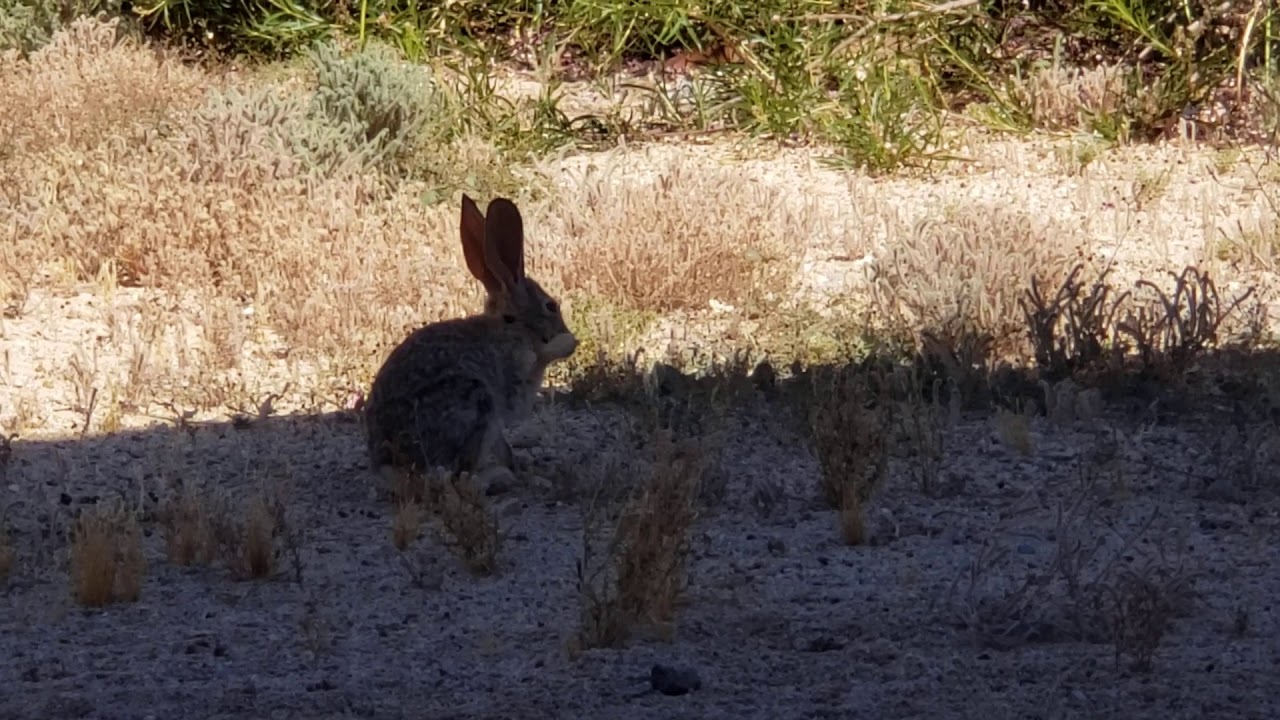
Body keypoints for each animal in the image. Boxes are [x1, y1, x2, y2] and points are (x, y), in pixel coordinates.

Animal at [363, 194, 578, 497]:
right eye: (551, 306)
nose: (568, 335)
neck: (510, 325)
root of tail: (391, 466)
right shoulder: (508, 388)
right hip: (473, 402)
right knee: (454, 476)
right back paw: (497, 477)